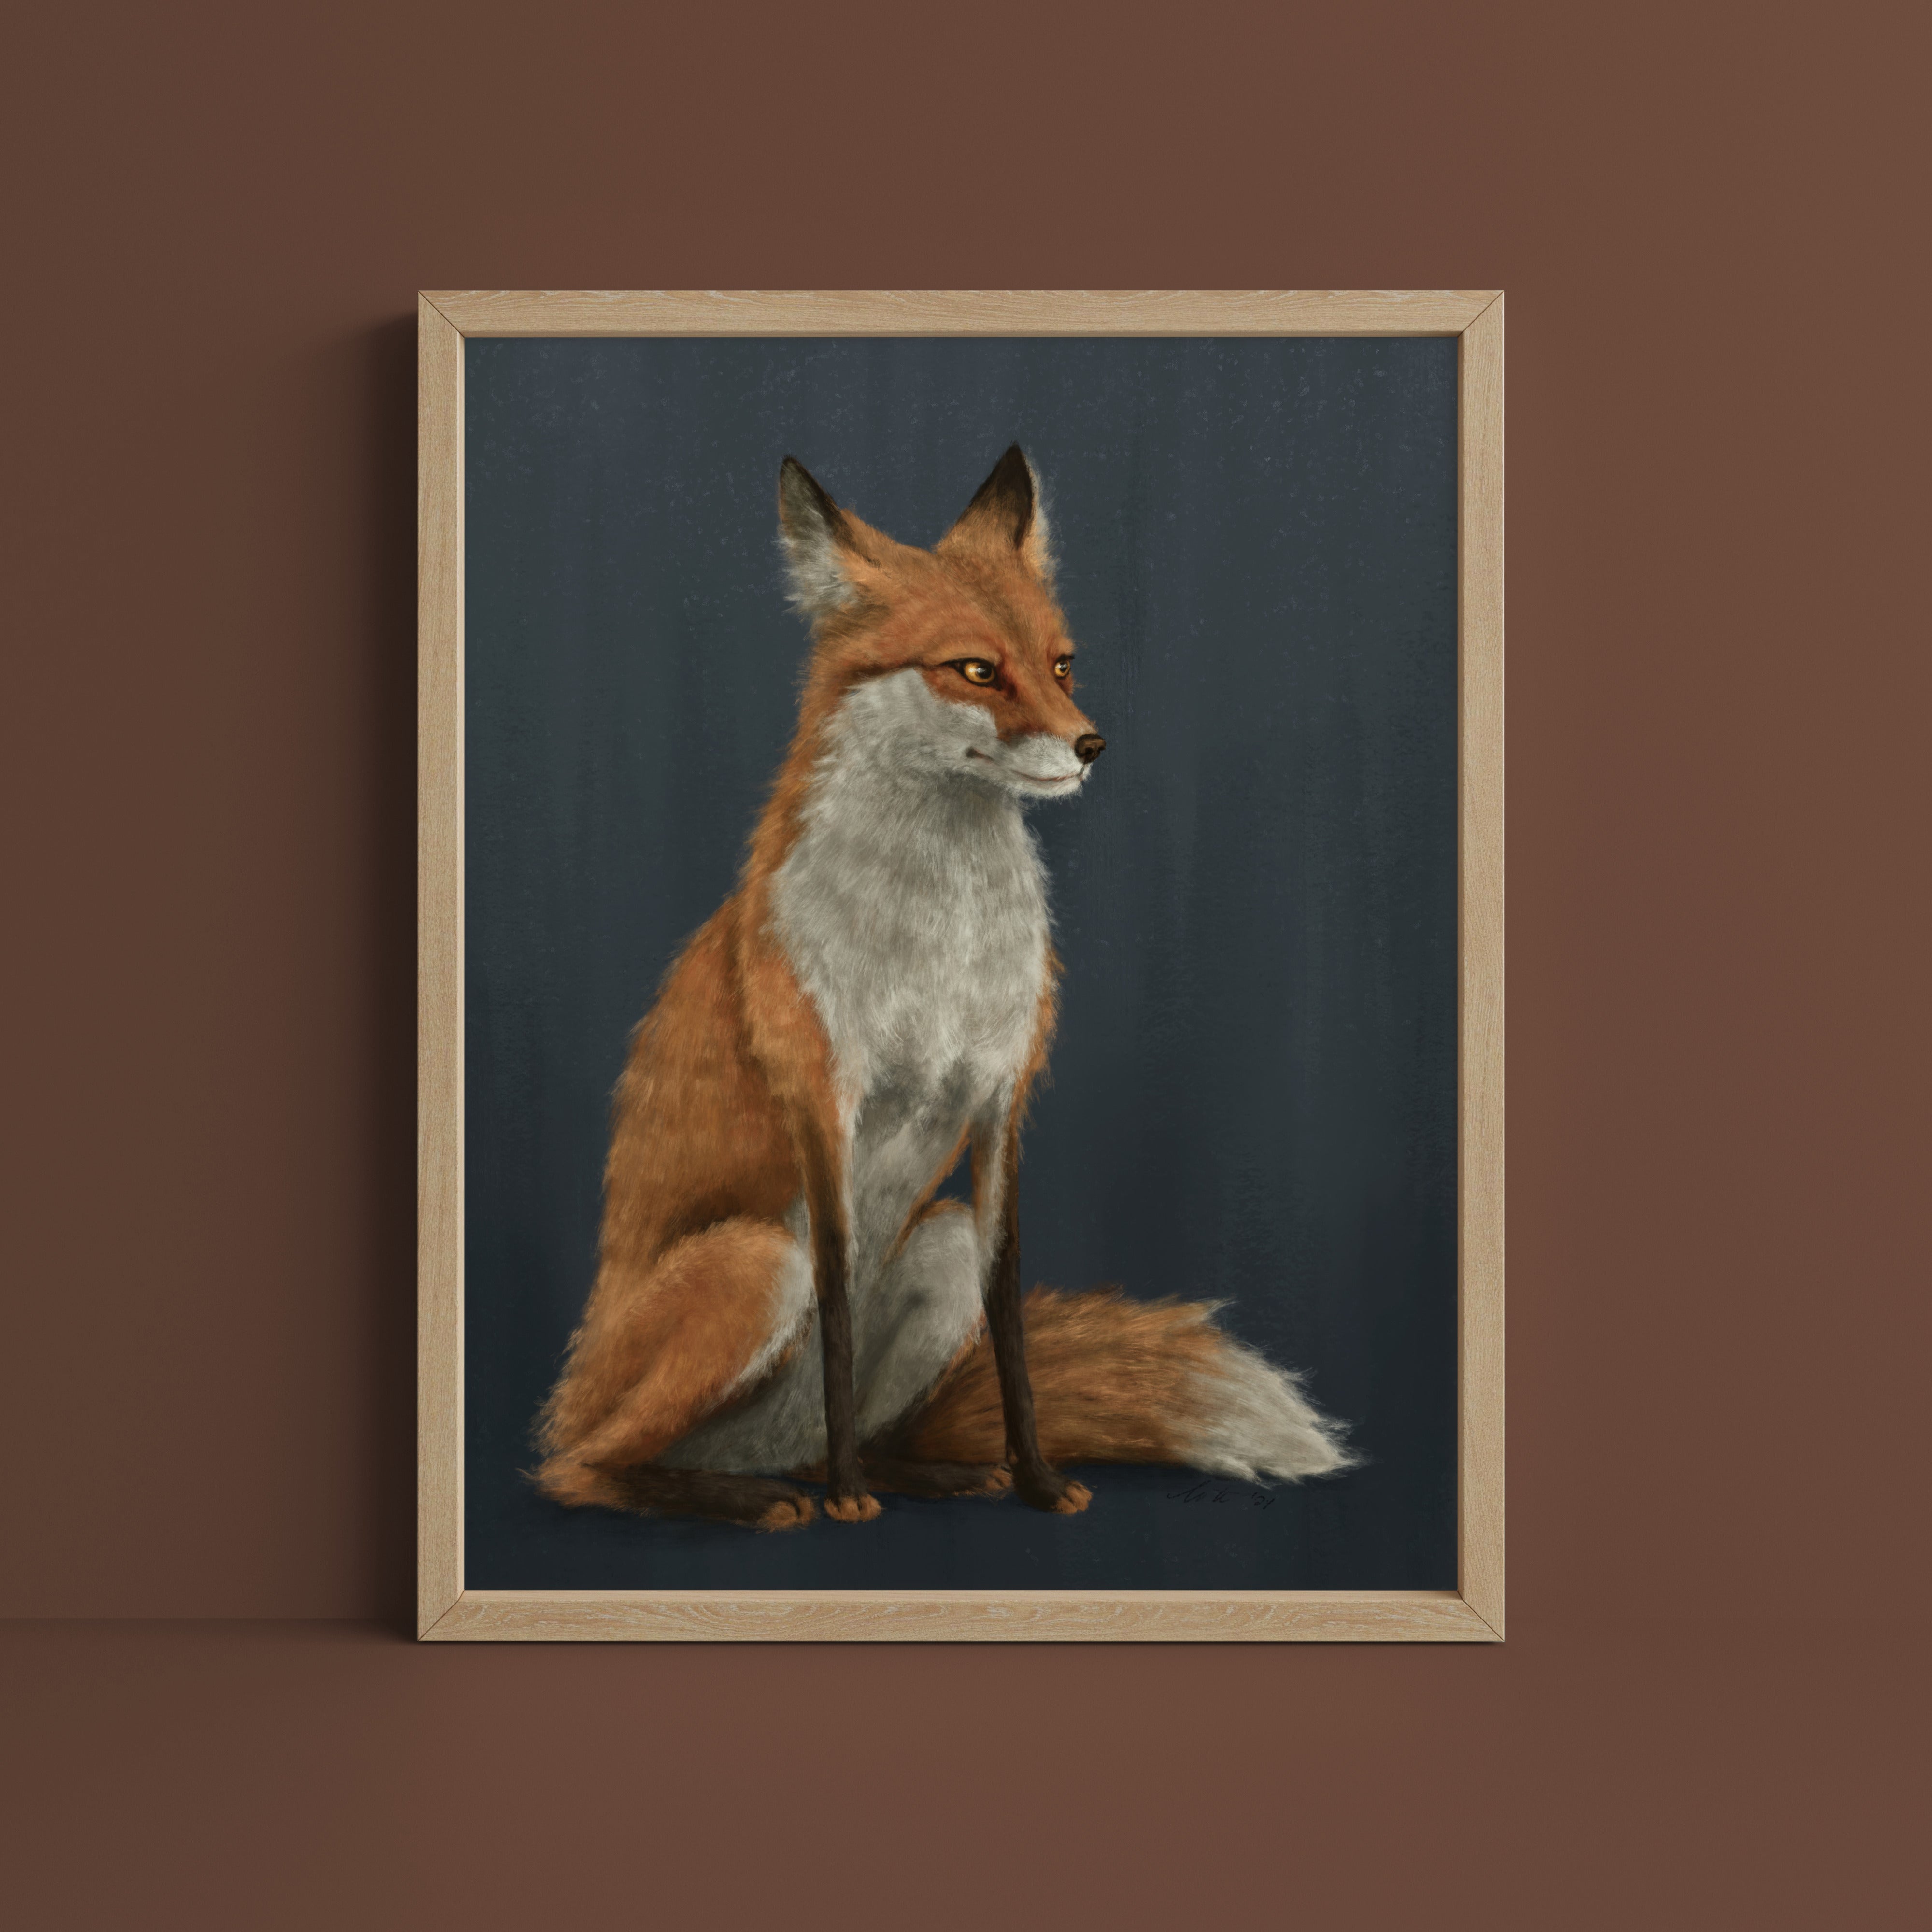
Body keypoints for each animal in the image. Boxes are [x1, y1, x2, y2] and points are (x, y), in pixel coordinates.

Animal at [533, 445, 1353, 1530]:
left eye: (1061, 663)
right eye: (975, 669)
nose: (1091, 745)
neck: (940, 945)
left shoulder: (1002, 1101)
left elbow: (1009, 1320)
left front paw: (1036, 1479)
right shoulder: (823, 1103)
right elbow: (838, 1307)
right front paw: (850, 1500)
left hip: (938, 1244)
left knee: (825, 1432)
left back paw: (913, 1472)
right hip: (754, 1263)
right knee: (582, 1468)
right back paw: (758, 1495)